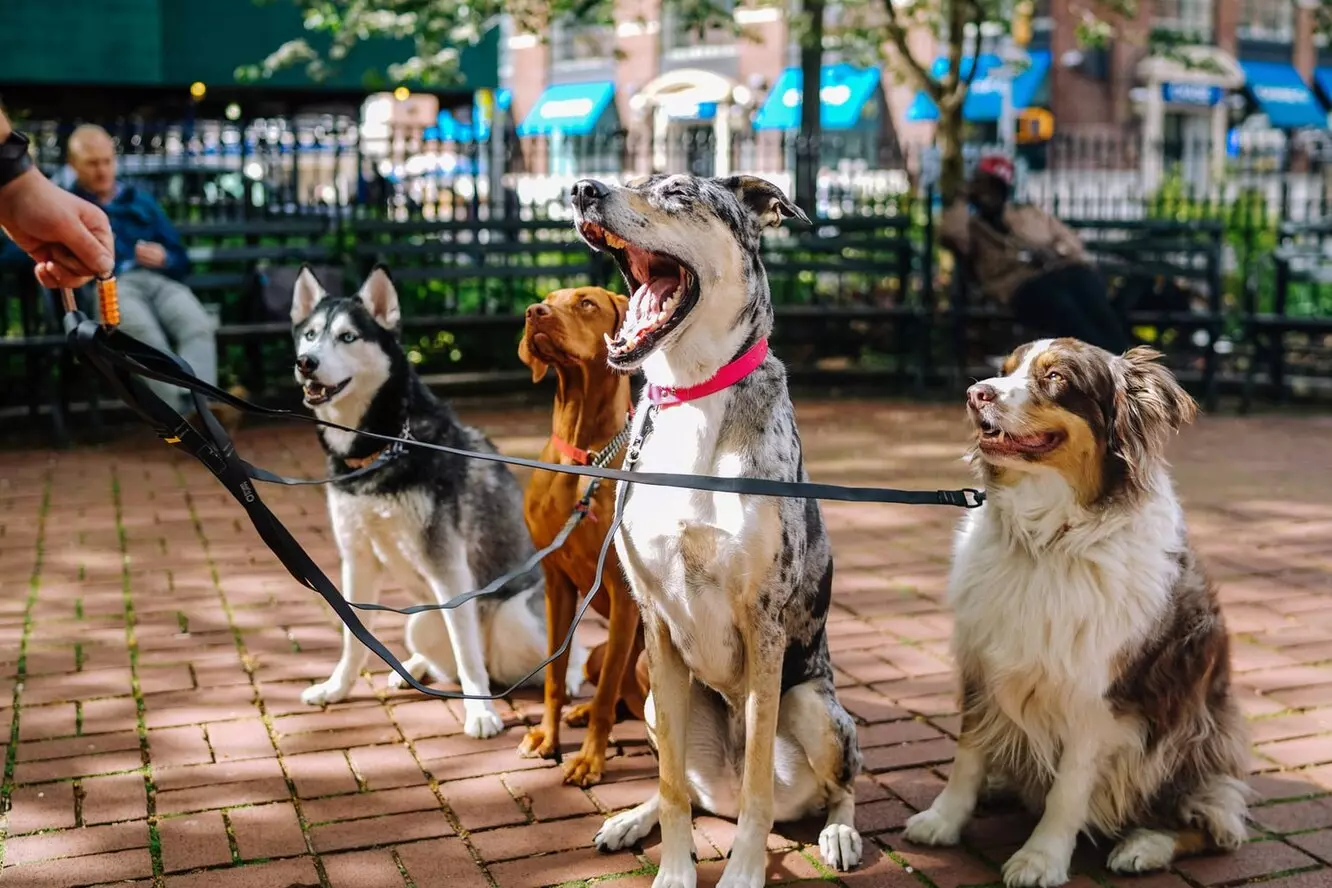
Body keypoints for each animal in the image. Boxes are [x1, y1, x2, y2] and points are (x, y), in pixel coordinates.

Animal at [289, 267, 586, 740]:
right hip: (420, 620)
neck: (383, 447)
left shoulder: (448, 566)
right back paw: (412, 668)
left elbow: (466, 652)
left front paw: (481, 714)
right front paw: (337, 688)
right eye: (310, 335)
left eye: (348, 336)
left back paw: (566, 677)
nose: (306, 363)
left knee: (561, 652)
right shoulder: (357, 559)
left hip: (513, 618)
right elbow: (354, 637)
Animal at [516, 286, 647, 782]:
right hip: (595, 654)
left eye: (586, 302)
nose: (534, 313)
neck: (583, 457)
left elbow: (608, 693)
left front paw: (590, 759)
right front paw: (547, 738)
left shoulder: (624, 594)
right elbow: (555, 676)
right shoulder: (556, 582)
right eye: (547, 299)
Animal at [572, 177, 863, 888]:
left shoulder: (763, 624)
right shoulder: (654, 621)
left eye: (678, 191)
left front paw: (743, 873)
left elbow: (759, 786)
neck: (692, 395)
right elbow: (673, 787)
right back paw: (631, 820)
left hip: (814, 708)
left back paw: (839, 832)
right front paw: (675, 871)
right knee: (689, 786)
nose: (583, 189)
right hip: (655, 700)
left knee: (838, 785)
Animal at [900, 340, 1252, 888]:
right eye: (1004, 370)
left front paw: (1041, 858)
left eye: (1057, 378)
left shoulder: (1099, 699)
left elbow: (1068, 790)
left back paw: (1145, 846)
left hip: (1192, 733)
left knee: (1216, 822)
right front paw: (944, 819)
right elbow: (968, 754)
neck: (1047, 540)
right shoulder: (982, 661)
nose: (976, 394)